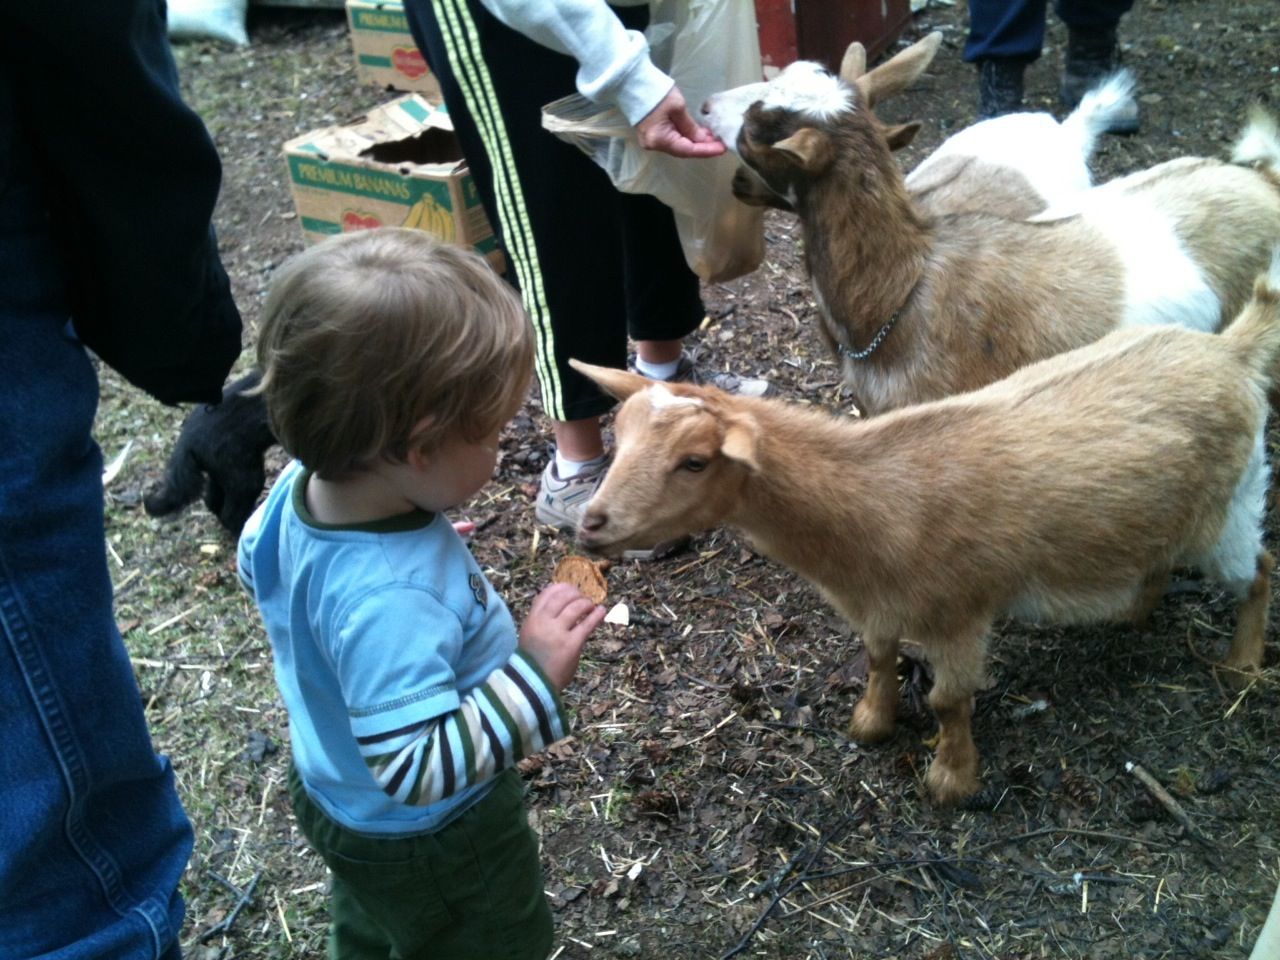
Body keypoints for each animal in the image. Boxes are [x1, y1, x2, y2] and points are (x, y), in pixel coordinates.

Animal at [569, 257, 1280, 806]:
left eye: (695, 461)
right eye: (619, 433)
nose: (591, 525)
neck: (872, 509)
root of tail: (1230, 350)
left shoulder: (962, 610)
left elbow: (948, 700)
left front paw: (952, 780)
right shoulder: (879, 603)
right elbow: (879, 658)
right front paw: (871, 723)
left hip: (1231, 505)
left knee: (1261, 570)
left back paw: (1242, 664)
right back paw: (1133, 611)